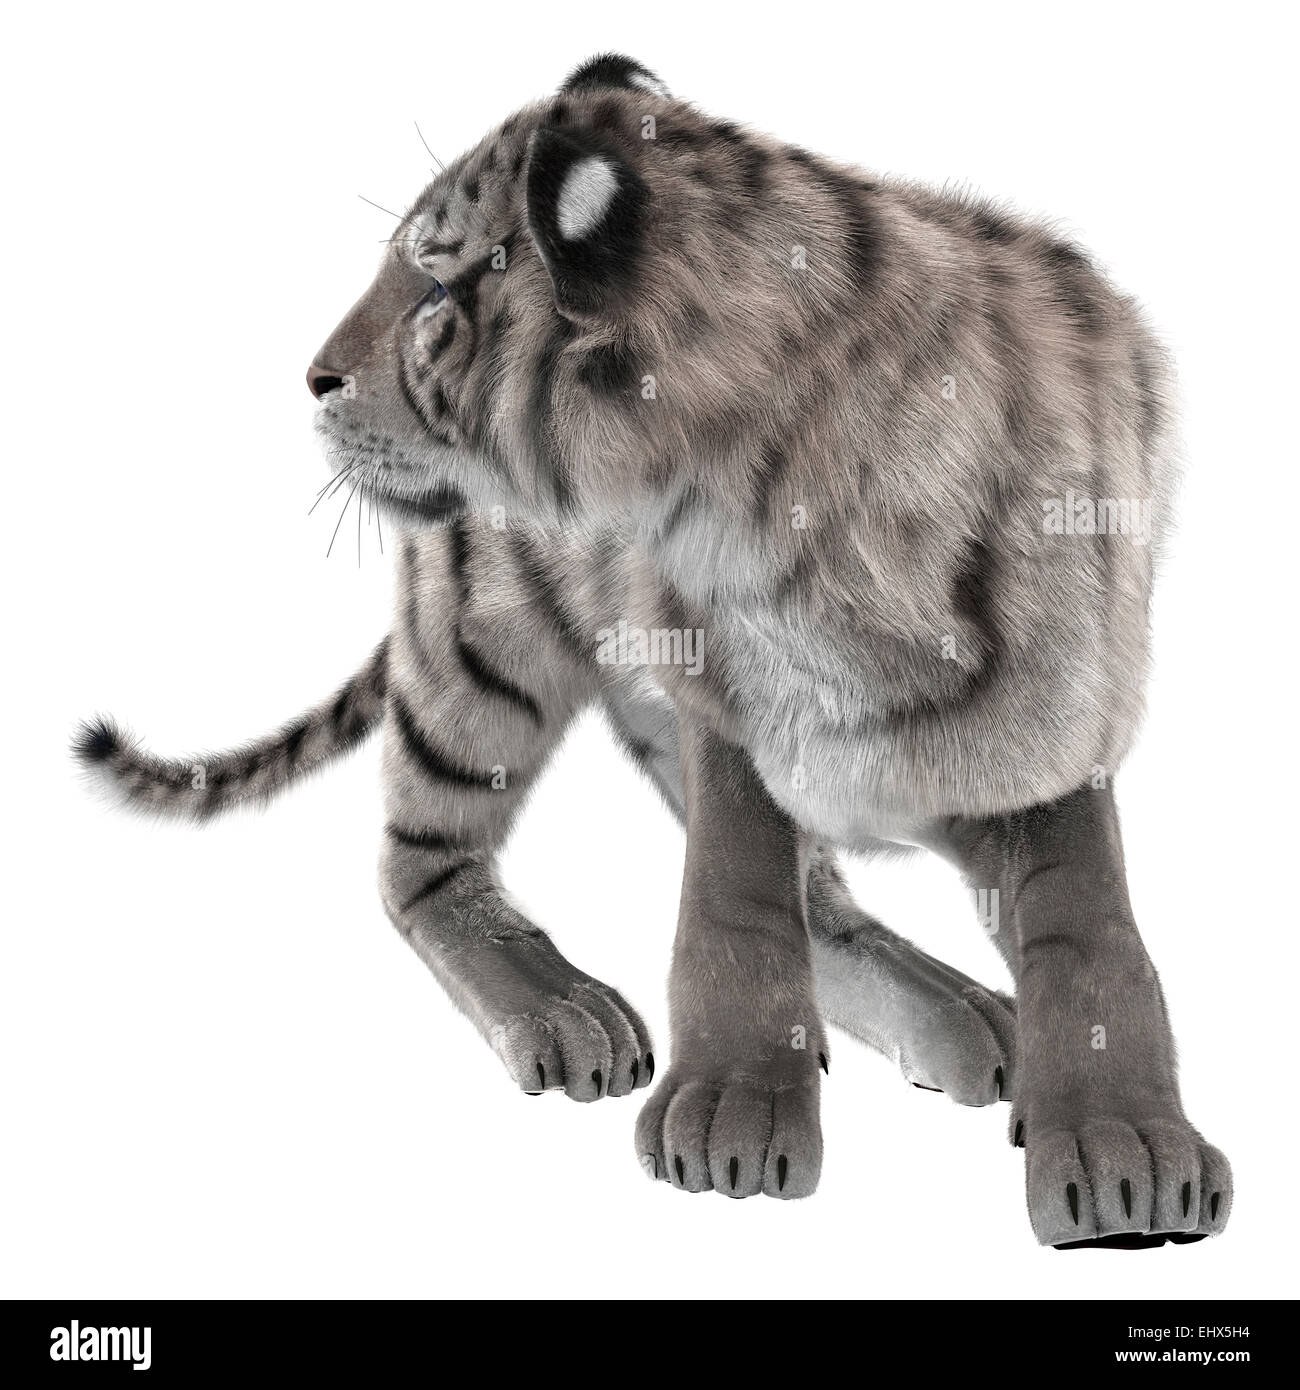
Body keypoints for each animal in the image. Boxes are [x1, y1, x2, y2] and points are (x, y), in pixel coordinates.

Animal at [76, 53, 1229, 1246]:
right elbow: (735, 907)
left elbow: (1092, 935)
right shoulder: (725, 720)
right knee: (423, 864)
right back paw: (563, 1007)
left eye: (435, 294)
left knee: (831, 909)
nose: (312, 379)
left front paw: (1126, 1155)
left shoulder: (1055, 731)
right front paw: (731, 1123)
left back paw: (963, 1015)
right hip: (481, 649)